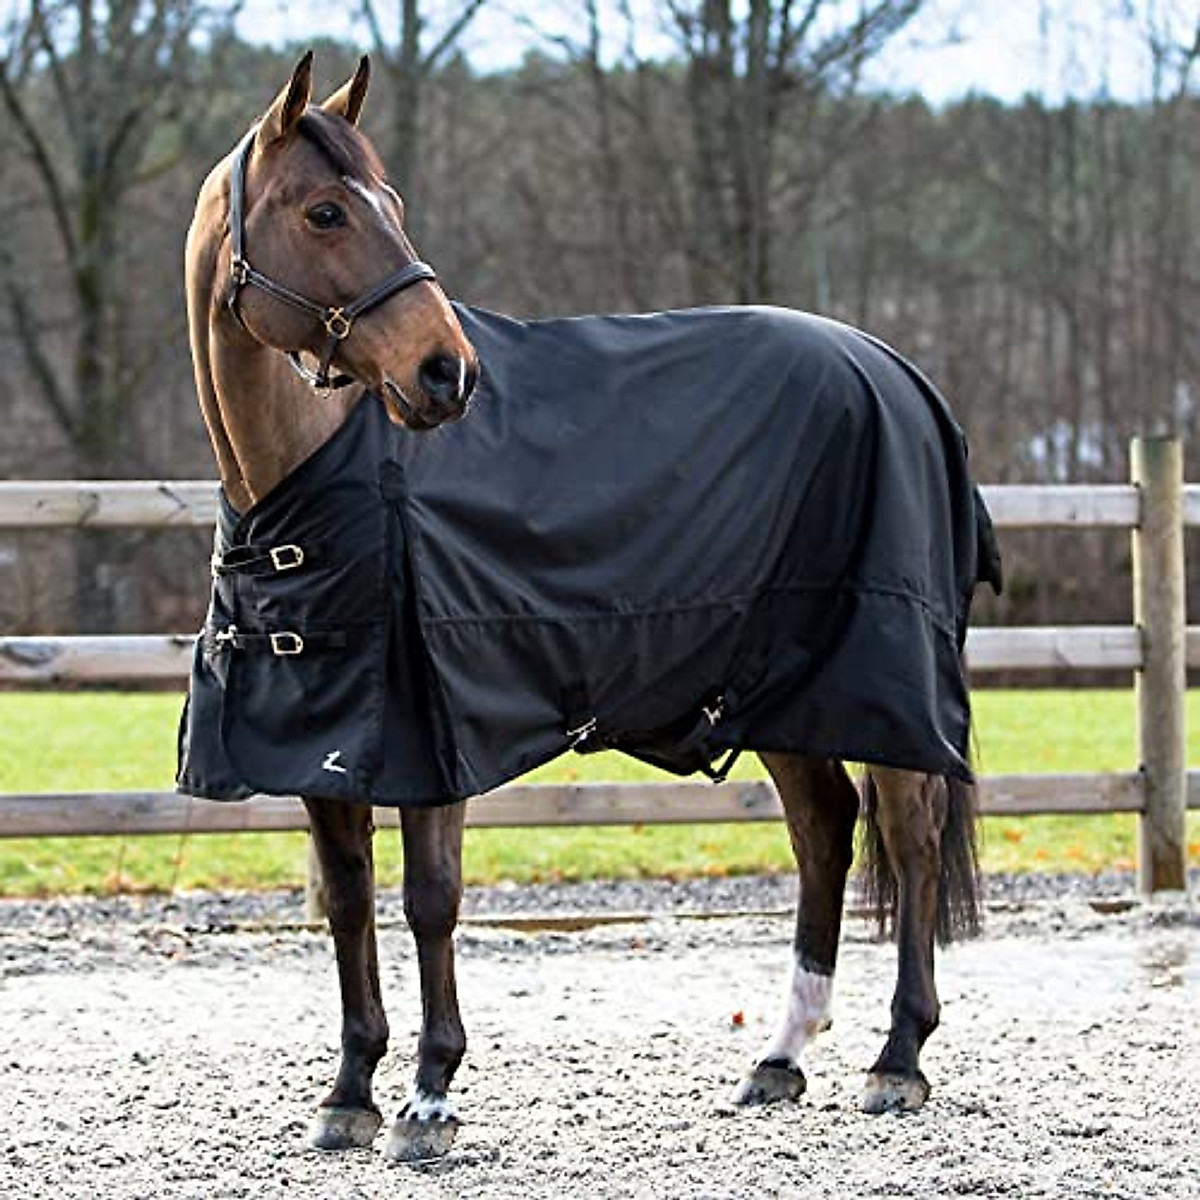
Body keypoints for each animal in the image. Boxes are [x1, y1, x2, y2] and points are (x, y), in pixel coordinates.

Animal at [183, 53, 992, 1163]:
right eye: (325, 212)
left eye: (392, 206)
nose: (446, 372)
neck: (320, 474)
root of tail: (900, 373)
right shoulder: (326, 749)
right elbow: (349, 905)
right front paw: (349, 1093)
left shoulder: (432, 737)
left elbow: (430, 902)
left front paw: (429, 1100)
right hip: (784, 689)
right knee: (824, 831)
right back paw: (778, 1058)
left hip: (883, 682)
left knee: (907, 836)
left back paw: (898, 1060)